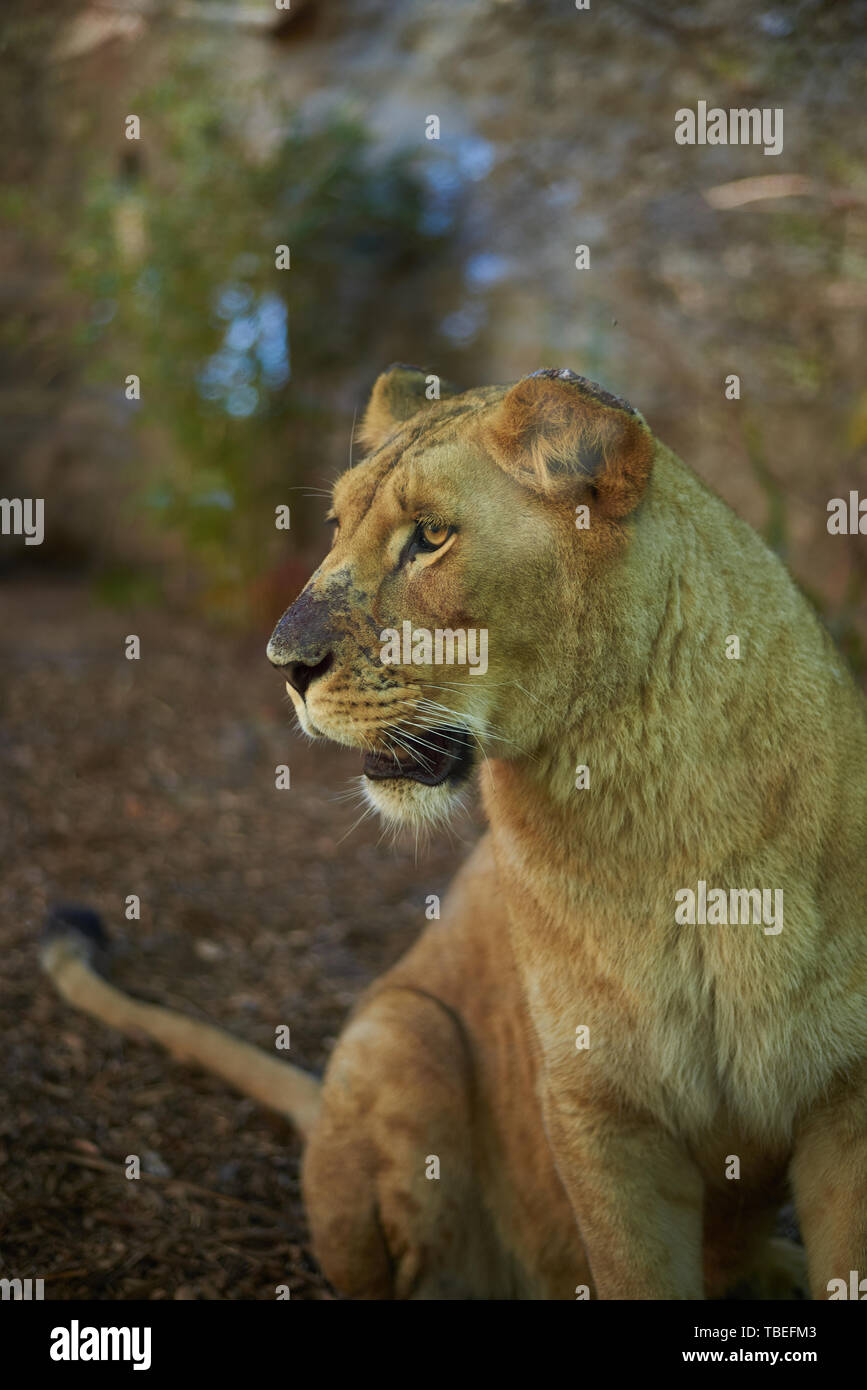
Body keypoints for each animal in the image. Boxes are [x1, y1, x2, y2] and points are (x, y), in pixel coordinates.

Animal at [43, 364, 866, 1299]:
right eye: (335, 528)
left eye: (431, 536)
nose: (283, 666)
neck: (652, 807)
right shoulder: (597, 1110)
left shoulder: (845, 1104)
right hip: (398, 1029)